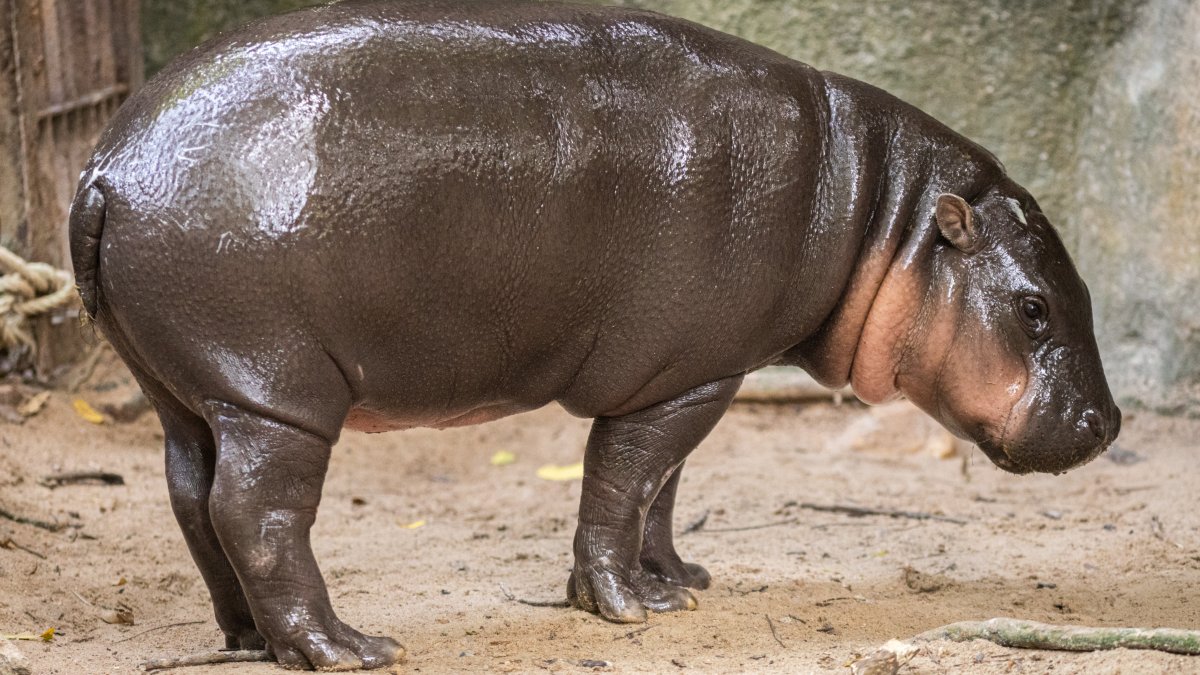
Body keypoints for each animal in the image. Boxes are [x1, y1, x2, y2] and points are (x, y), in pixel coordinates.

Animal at [69, 0, 1120, 669]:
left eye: (1080, 288)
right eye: (1034, 306)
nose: (1106, 424)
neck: (876, 211)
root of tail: (110, 161)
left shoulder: (696, 371)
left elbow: (663, 489)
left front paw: (680, 581)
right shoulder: (680, 378)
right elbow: (622, 483)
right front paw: (623, 607)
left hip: (186, 388)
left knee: (192, 496)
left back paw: (251, 638)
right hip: (273, 391)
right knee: (257, 511)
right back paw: (348, 649)